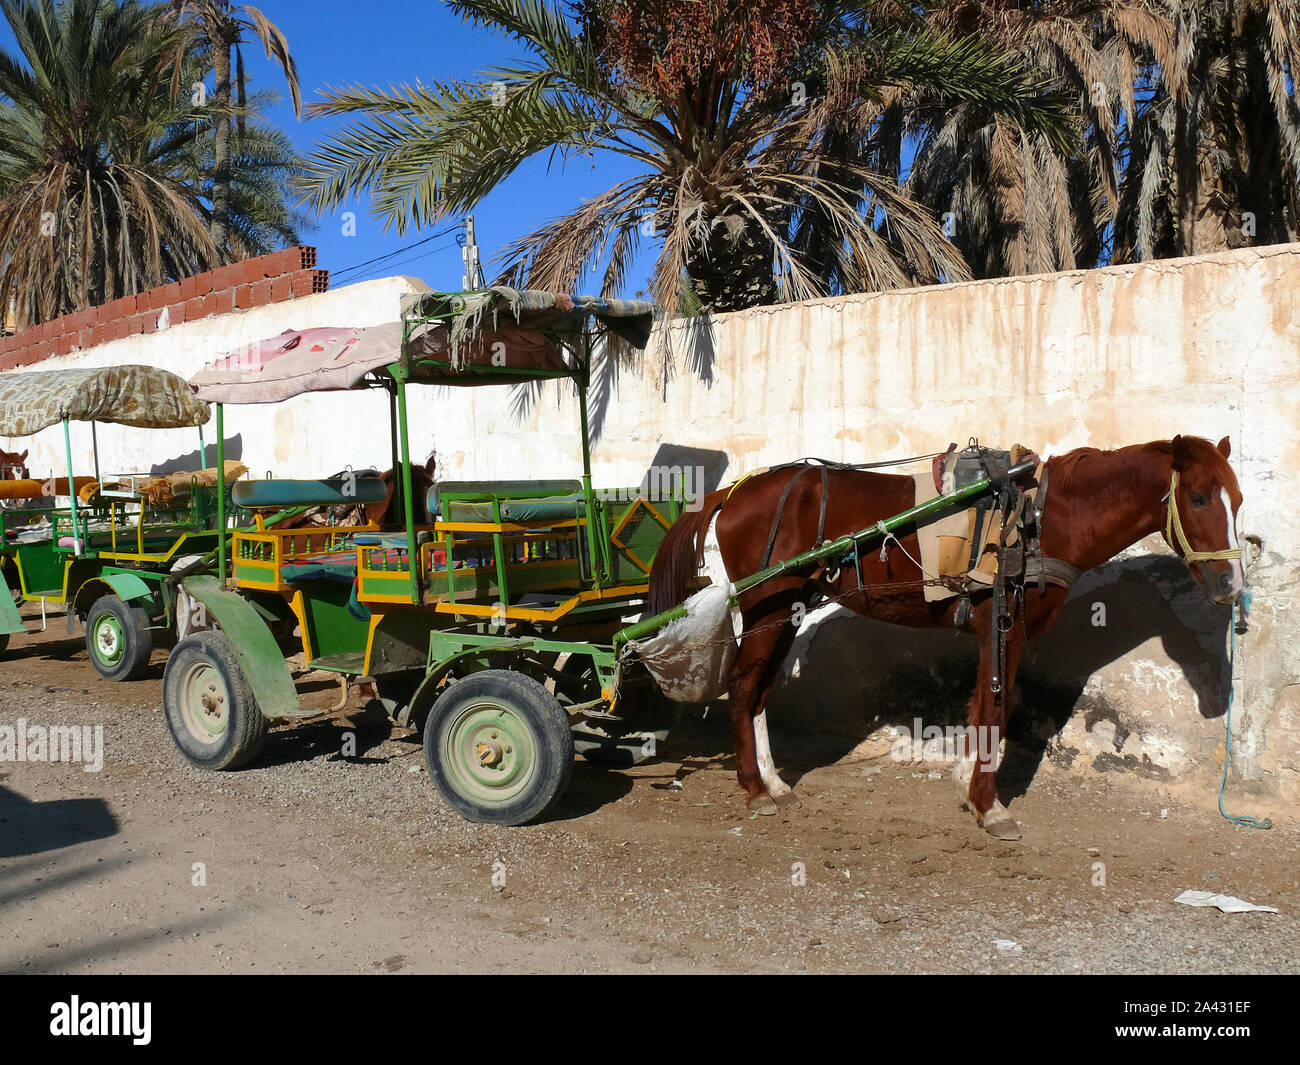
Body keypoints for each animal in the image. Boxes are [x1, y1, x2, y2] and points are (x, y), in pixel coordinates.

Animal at [646, 436, 1245, 839]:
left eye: (1236, 500)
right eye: (1197, 498)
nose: (1231, 586)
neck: (1042, 518)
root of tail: (736, 489)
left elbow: (986, 702)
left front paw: (967, 783)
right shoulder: (1005, 624)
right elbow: (996, 705)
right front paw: (988, 805)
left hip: (785, 612)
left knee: (760, 692)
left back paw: (773, 782)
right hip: (765, 604)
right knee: (744, 688)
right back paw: (754, 789)